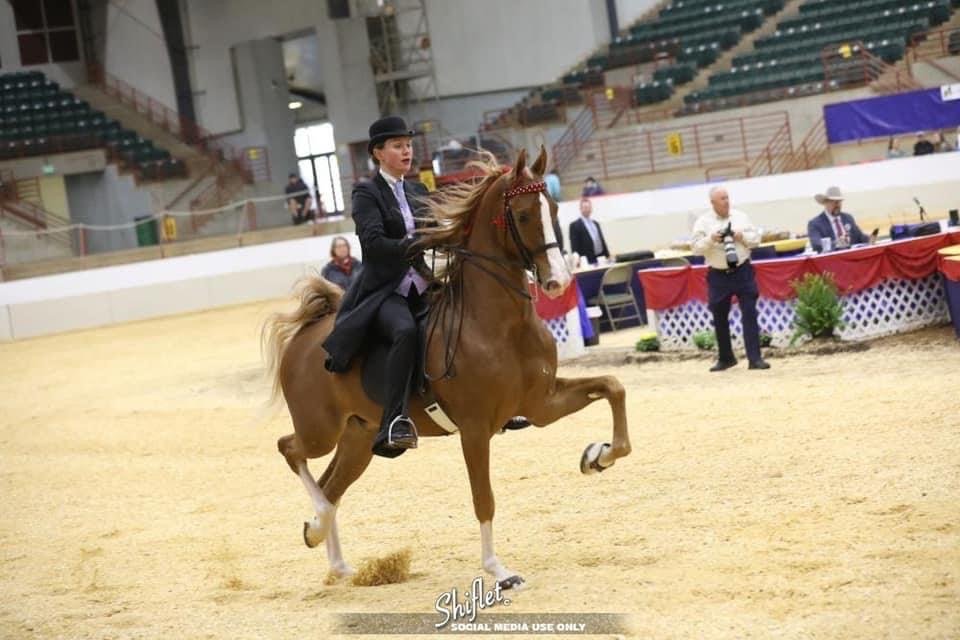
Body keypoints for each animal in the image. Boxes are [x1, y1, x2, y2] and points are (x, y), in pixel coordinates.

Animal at [263, 146, 632, 589]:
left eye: (554, 208)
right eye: (524, 214)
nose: (558, 282)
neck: (500, 326)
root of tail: (309, 330)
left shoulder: (541, 404)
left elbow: (612, 386)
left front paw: (599, 456)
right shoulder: (474, 429)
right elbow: (483, 498)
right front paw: (499, 570)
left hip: (358, 437)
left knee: (331, 486)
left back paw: (333, 555)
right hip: (321, 430)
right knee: (291, 450)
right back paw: (317, 525)